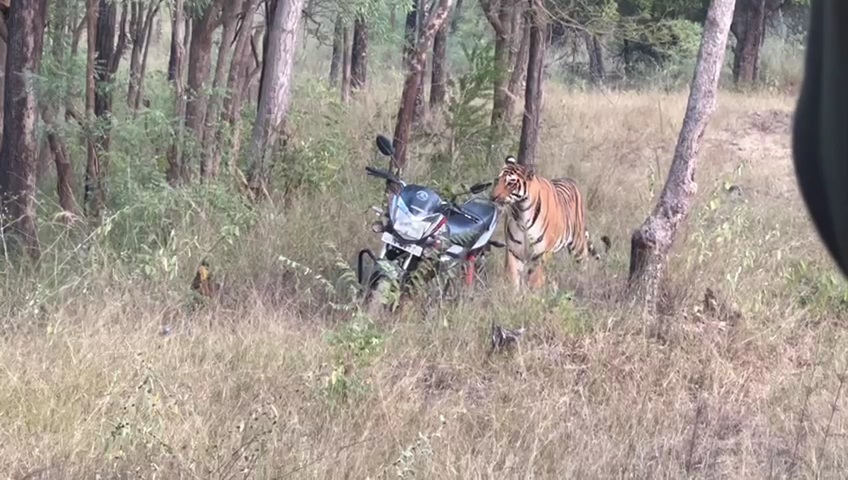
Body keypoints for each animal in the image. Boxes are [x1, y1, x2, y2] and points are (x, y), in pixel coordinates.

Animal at [490, 155, 609, 290]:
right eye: (497, 180)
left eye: (510, 183)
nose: (492, 197)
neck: (522, 210)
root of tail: (570, 180)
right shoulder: (514, 251)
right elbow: (513, 278)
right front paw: (512, 294)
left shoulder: (541, 253)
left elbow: (535, 279)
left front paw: (533, 294)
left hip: (578, 246)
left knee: (583, 264)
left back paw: (582, 283)